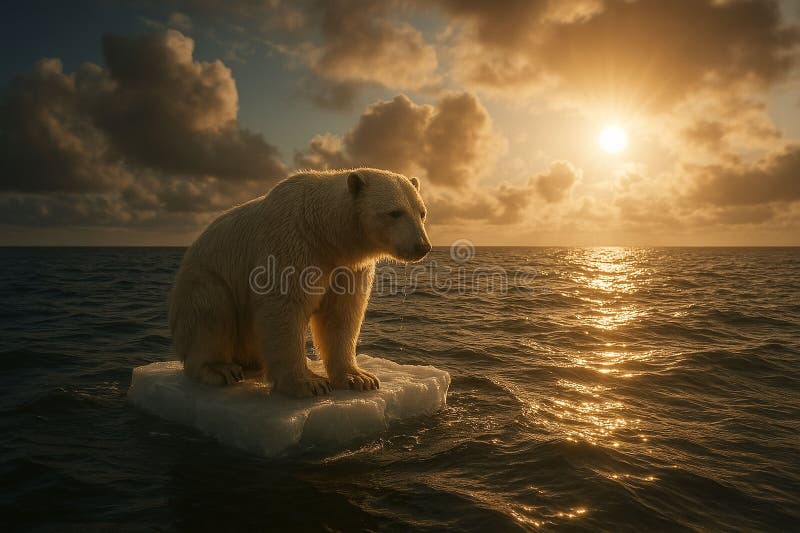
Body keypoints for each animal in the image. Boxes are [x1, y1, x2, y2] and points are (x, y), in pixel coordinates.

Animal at [168, 168, 431, 398]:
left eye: (421, 212)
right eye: (394, 212)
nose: (422, 246)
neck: (324, 234)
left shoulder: (346, 266)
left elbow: (341, 313)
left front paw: (360, 378)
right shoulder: (291, 245)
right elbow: (285, 305)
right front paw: (309, 383)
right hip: (205, 280)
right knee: (212, 312)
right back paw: (219, 368)